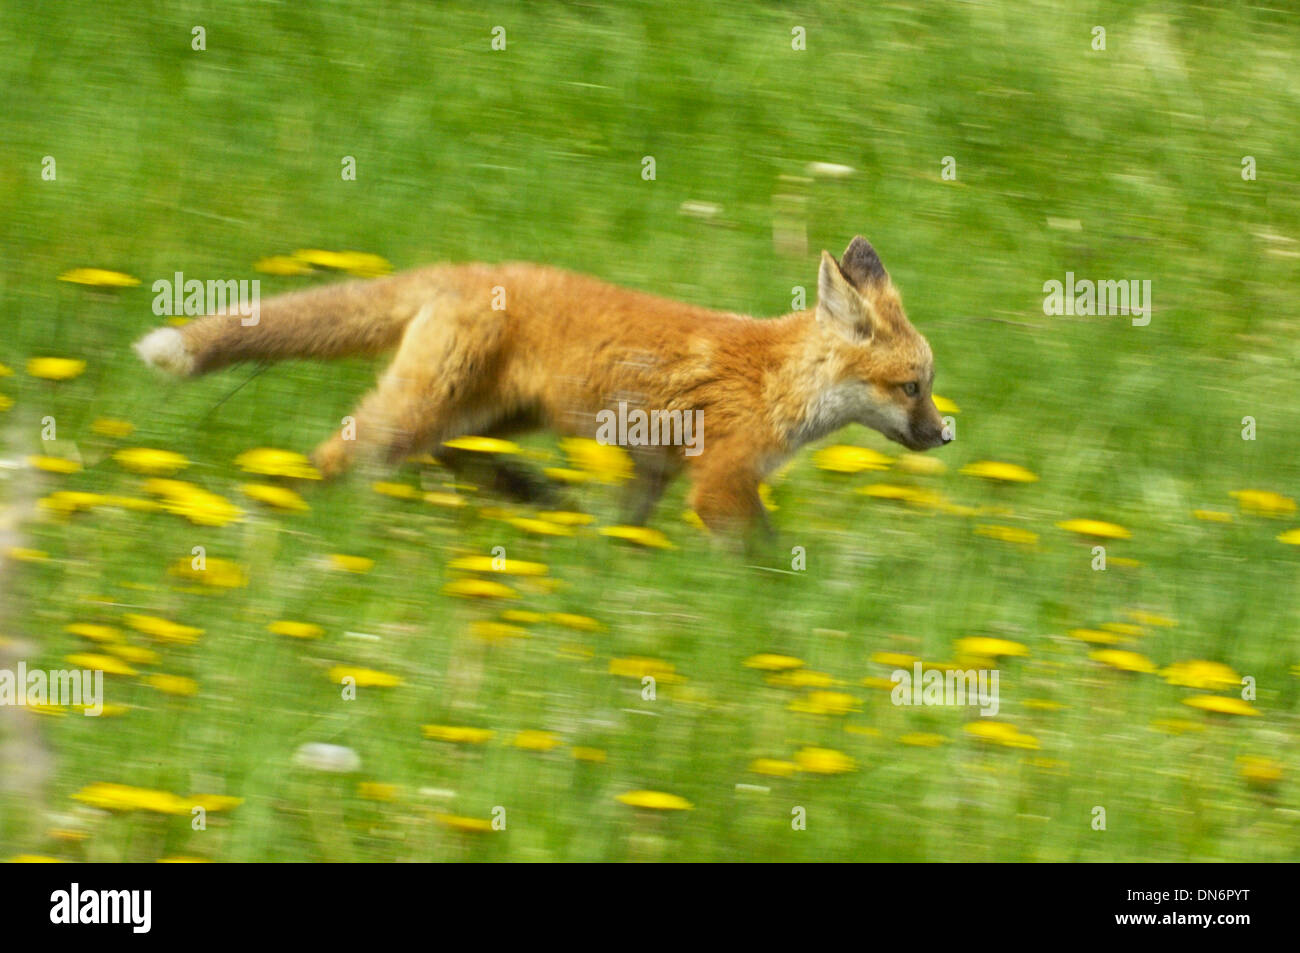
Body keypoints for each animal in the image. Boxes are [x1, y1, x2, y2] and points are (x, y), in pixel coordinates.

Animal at [134, 236, 949, 530]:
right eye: (913, 386)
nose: (945, 433)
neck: (779, 379)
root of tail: (463, 270)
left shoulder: (653, 469)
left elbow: (631, 534)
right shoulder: (720, 480)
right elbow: (762, 561)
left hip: (491, 417)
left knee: (445, 458)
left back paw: (528, 494)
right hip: (422, 410)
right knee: (341, 456)